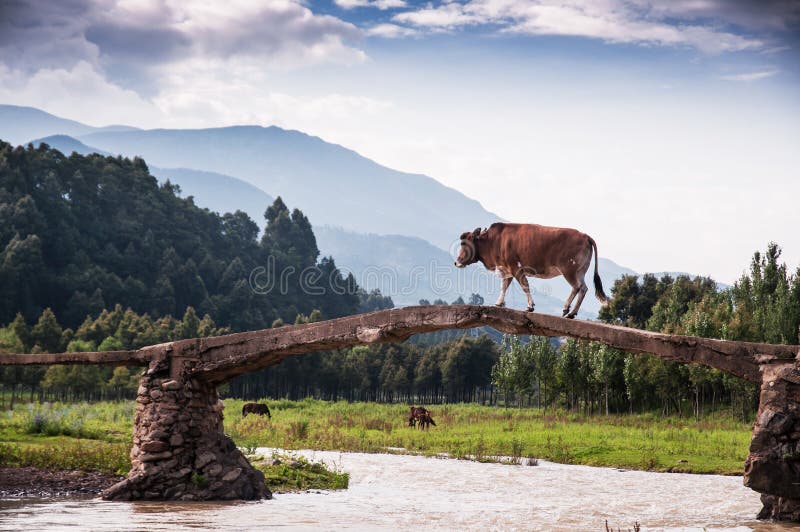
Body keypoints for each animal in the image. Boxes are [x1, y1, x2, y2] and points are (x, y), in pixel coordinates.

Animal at [454, 222, 608, 319]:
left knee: (577, 287)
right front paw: (498, 303)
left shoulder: (515, 267)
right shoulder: (507, 269)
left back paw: (567, 310)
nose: (456, 262)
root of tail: (585, 235)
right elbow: (504, 287)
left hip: (569, 270)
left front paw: (530, 306)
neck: (494, 241)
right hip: (580, 271)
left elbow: (524, 285)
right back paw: (571, 312)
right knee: (584, 288)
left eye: (464, 243)